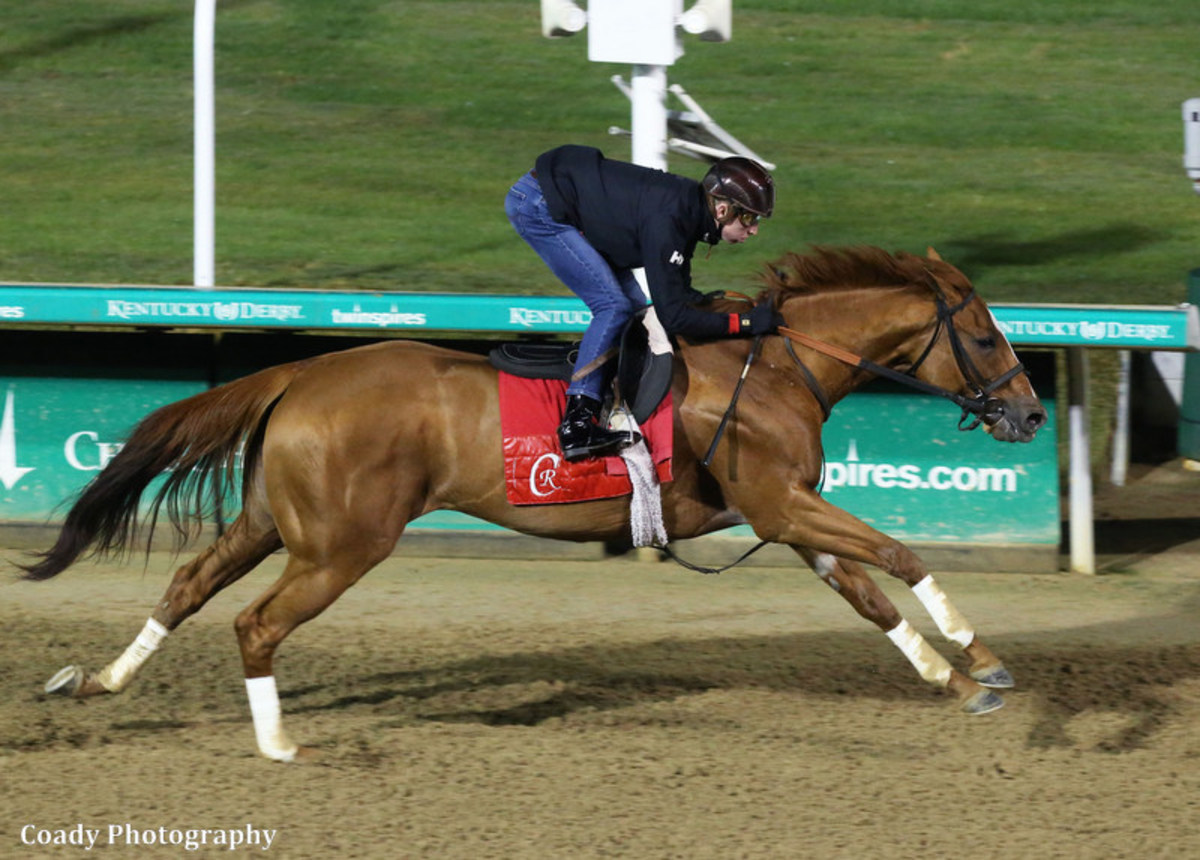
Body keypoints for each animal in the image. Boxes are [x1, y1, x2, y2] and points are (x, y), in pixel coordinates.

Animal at [20, 246, 1047, 762]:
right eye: (987, 336)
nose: (1032, 412)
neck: (773, 364)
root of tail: (300, 372)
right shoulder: (780, 505)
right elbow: (904, 556)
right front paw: (984, 660)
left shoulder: (788, 516)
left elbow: (872, 595)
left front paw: (955, 677)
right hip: (344, 545)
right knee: (255, 623)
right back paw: (278, 745)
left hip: (278, 521)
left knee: (189, 585)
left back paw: (98, 681)